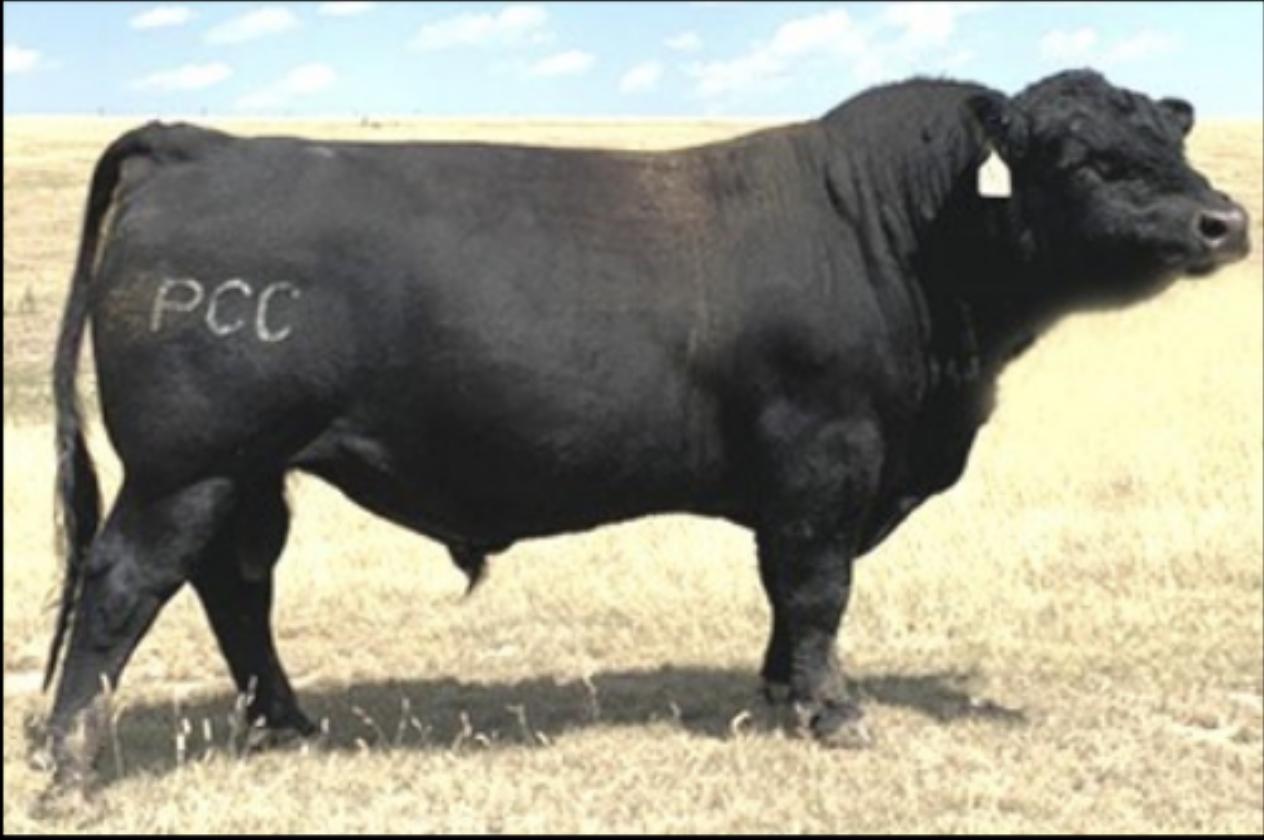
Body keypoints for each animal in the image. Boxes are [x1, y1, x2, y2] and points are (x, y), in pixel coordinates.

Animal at [40, 70, 1249, 789]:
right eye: (1086, 158)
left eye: (1171, 140)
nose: (1223, 221)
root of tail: (198, 141)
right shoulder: (825, 454)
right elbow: (817, 586)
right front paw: (834, 712)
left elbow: (791, 596)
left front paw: (781, 693)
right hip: (186, 465)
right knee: (125, 584)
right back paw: (69, 764)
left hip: (249, 472)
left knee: (236, 586)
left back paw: (284, 726)